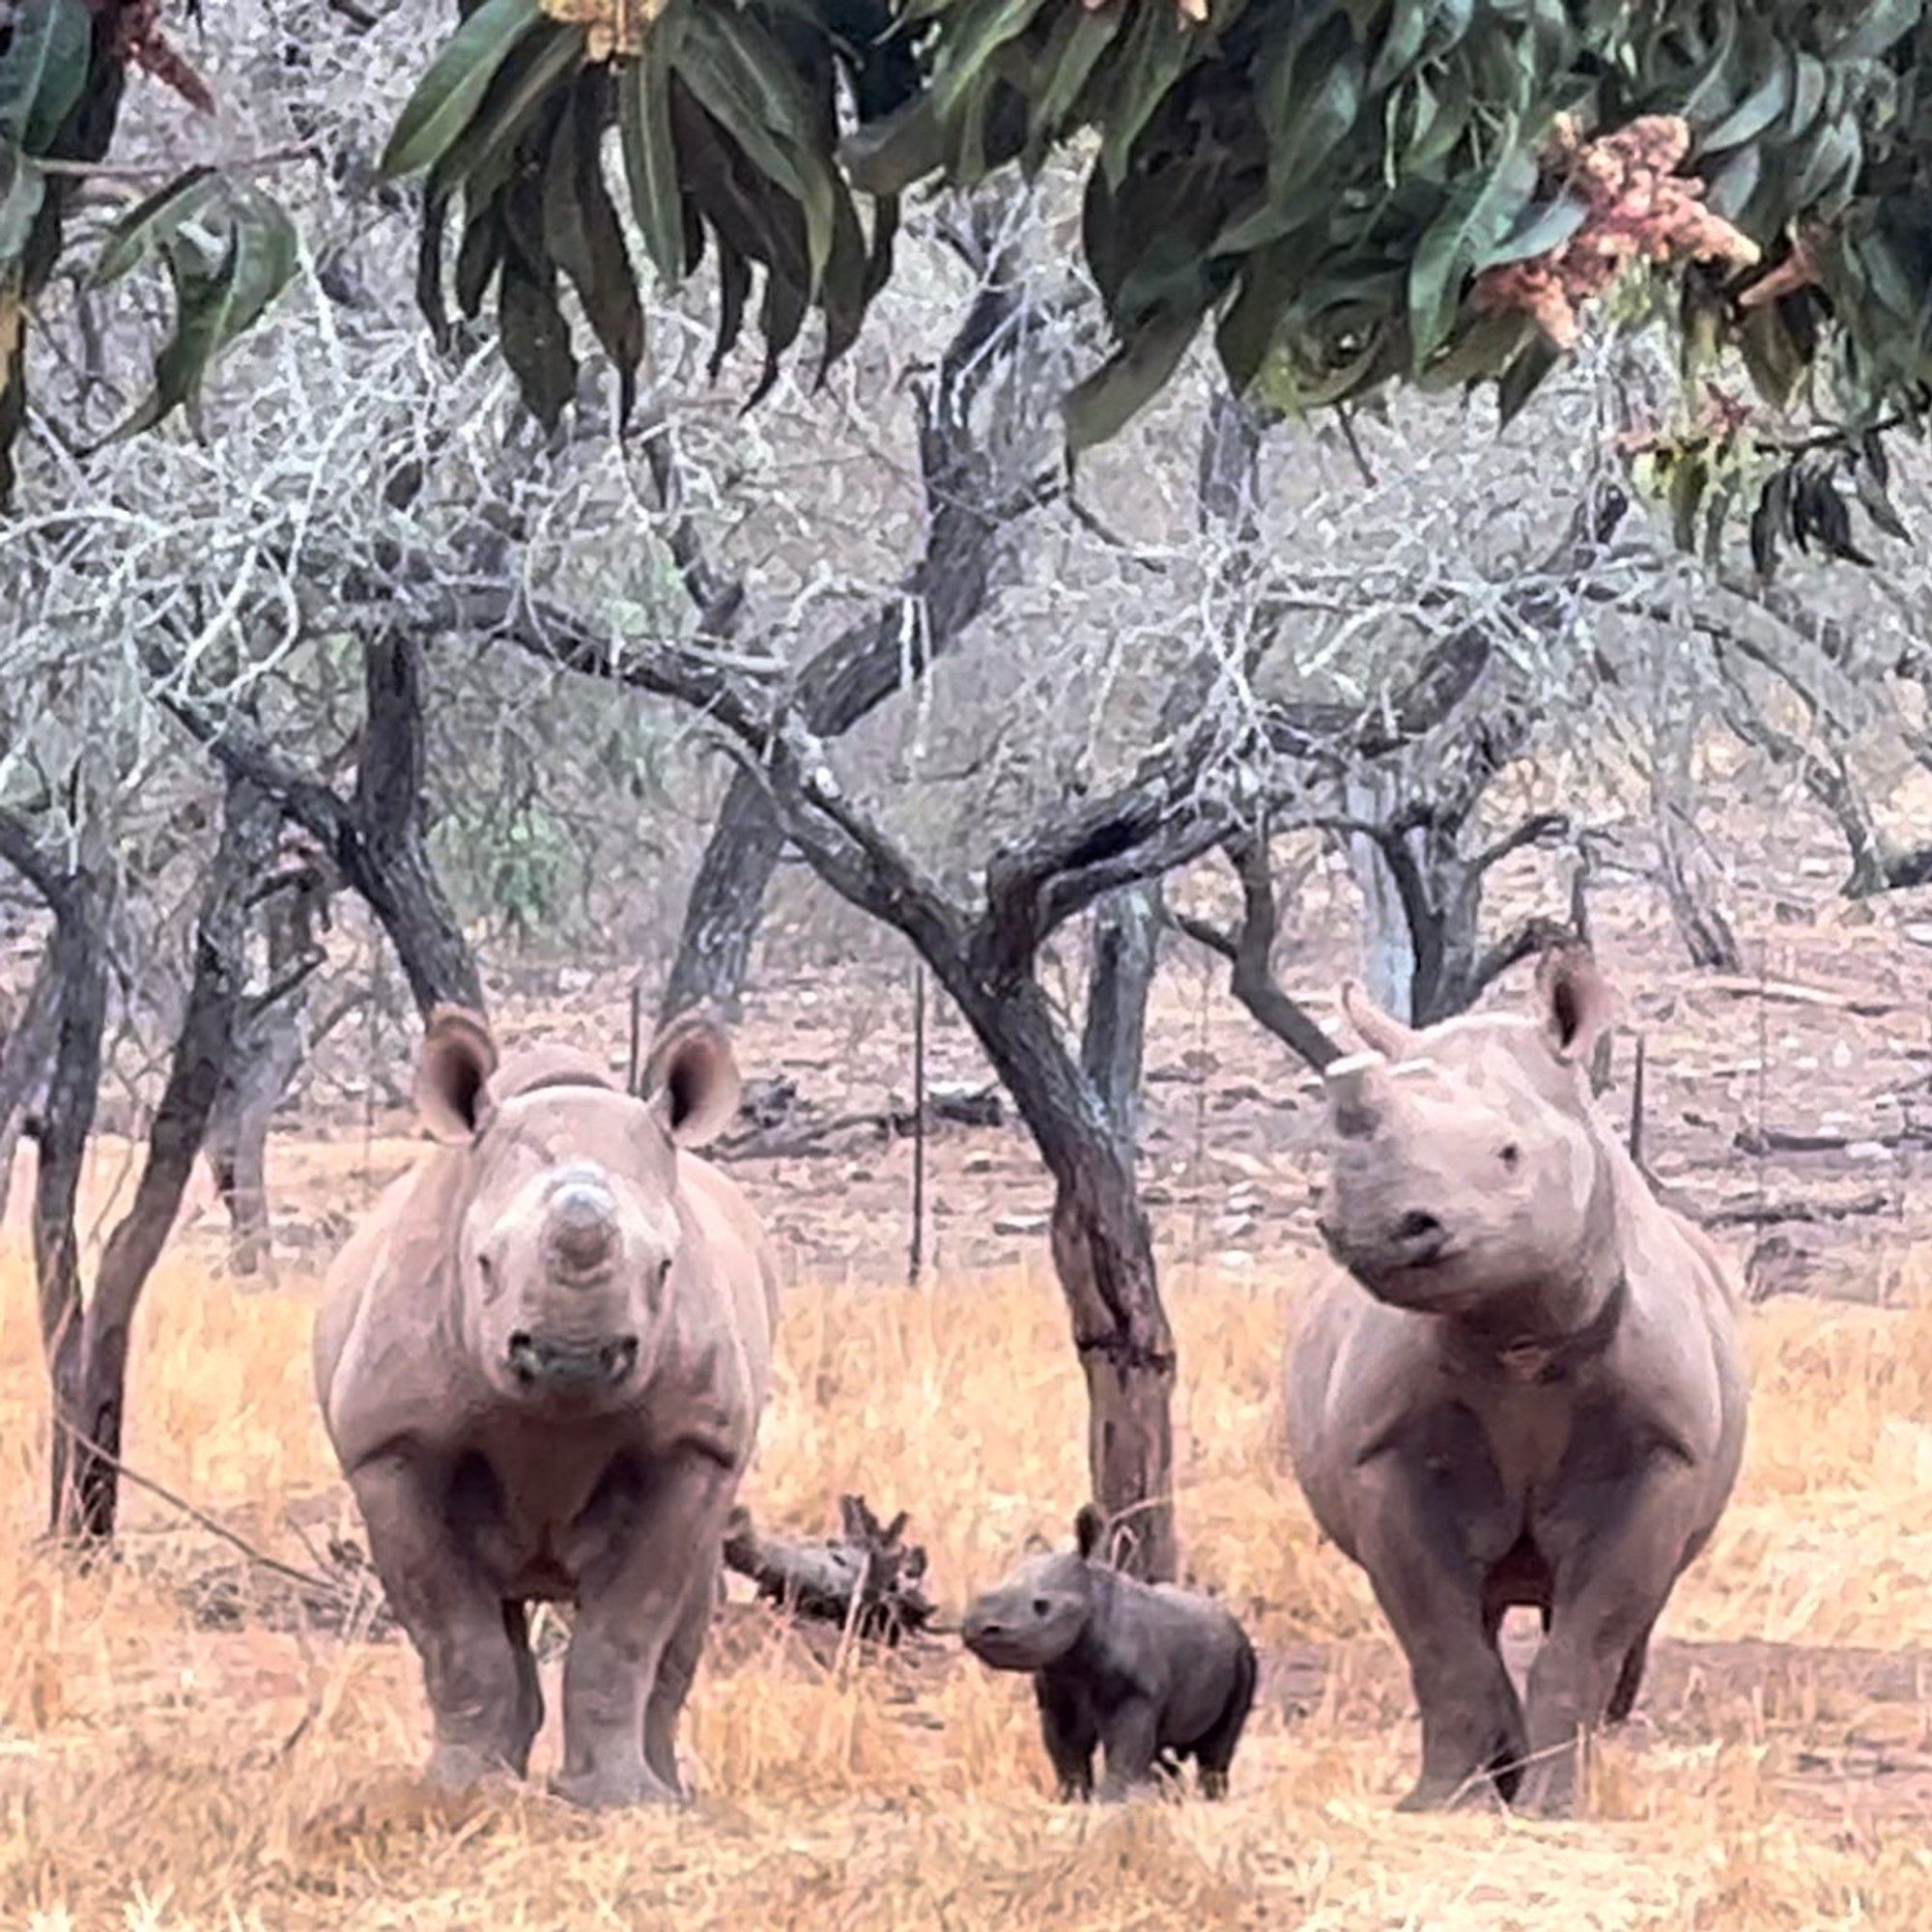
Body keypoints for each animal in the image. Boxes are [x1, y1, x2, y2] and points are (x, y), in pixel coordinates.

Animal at [314, 1007, 776, 1809]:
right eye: (483, 1264)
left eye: (666, 1267)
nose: (574, 1356)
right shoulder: (390, 1445)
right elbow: (452, 1634)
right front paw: (463, 1793)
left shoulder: (696, 1444)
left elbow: (627, 1631)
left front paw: (618, 1802)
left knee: (690, 1599)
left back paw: (669, 1792)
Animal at [960, 1506, 1257, 1801]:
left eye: (1042, 1606)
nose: (979, 1628)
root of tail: (1234, 1622)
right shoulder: (1059, 1688)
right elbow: (1068, 1756)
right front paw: (1071, 1801)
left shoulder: (1135, 1695)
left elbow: (1123, 1756)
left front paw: (1111, 1805)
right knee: (1165, 1754)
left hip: (1243, 1656)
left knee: (1216, 1750)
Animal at [1285, 946, 1747, 1818]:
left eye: (1509, 1155)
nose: (1379, 1229)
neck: (1518, 1336)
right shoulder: (1383, 1458)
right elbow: (1442, 1644)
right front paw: (1443, 1803)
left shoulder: (1660, 1457)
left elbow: (1587, 1641)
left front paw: (1553, 1808)